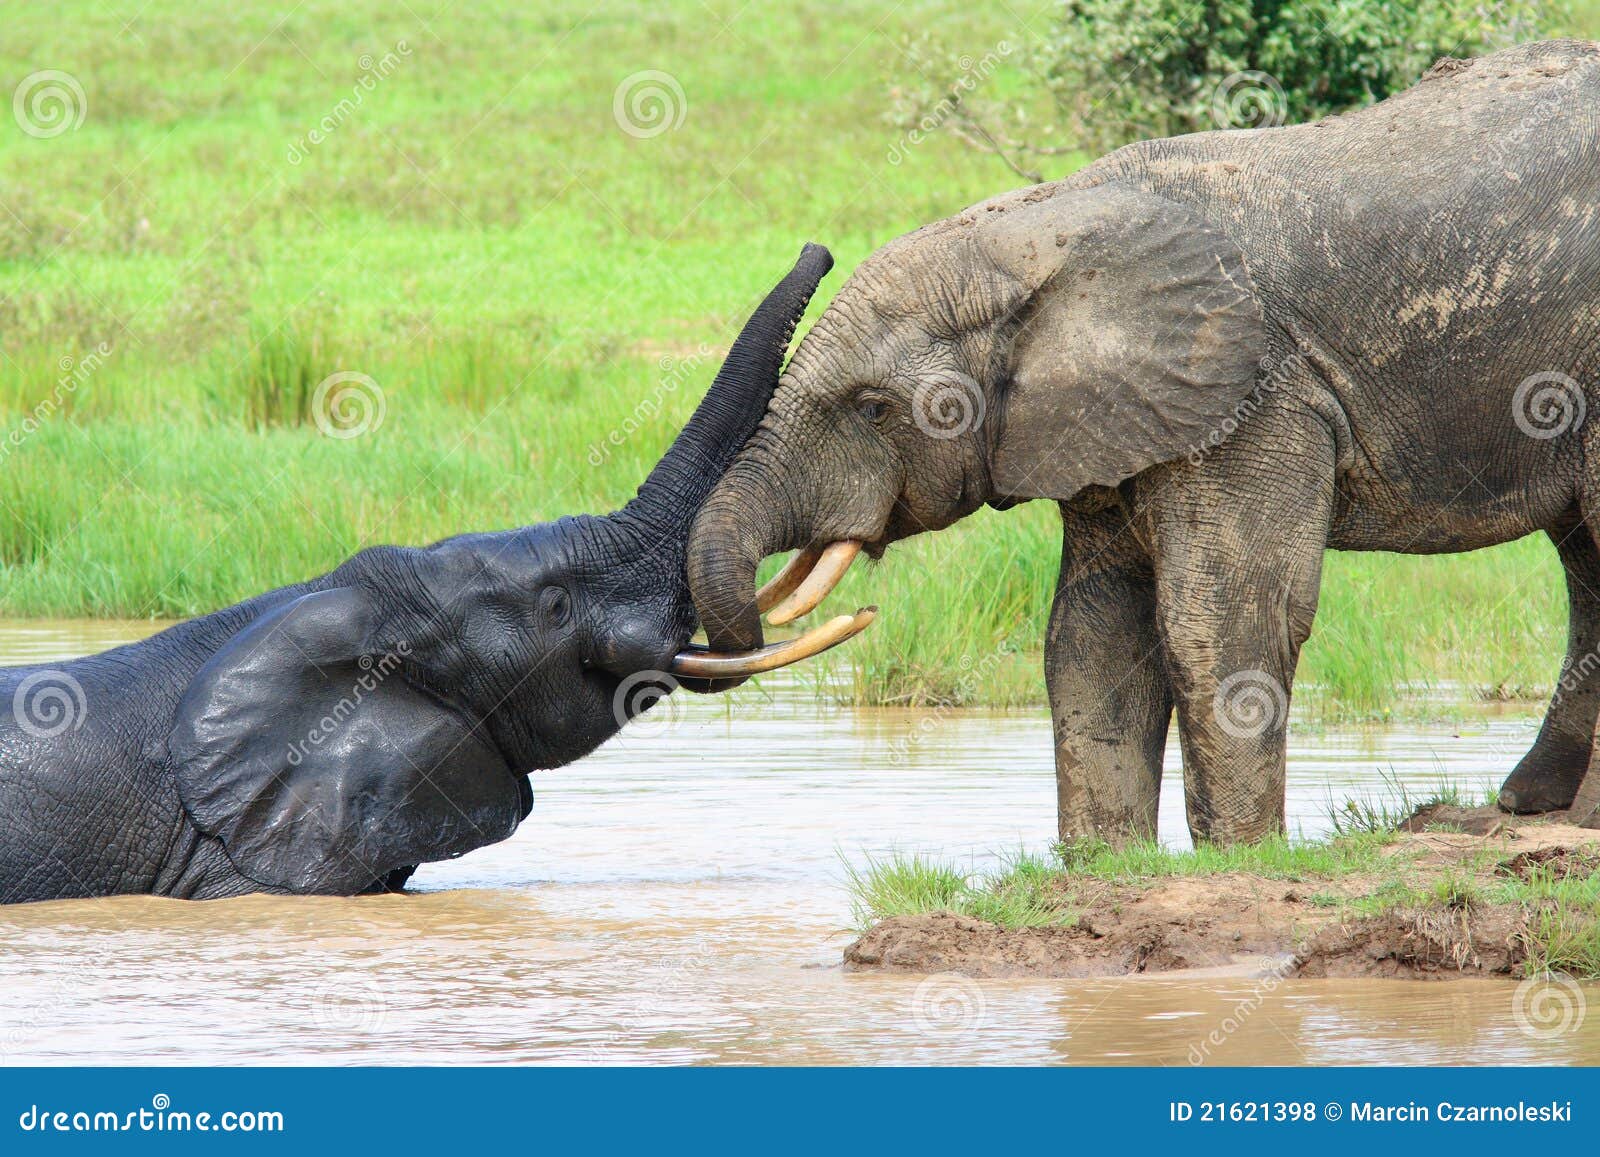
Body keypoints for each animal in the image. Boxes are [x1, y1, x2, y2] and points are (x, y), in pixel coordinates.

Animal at [687, 40, 1600, 845]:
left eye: (873, 408)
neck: (1041, 229)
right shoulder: (1114, 419)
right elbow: (1089, 633)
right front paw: (1099, 865)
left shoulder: (1255, 394)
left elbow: (1220, 617)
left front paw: (1243, 858)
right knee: (1583, 557)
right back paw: (1529, 803)